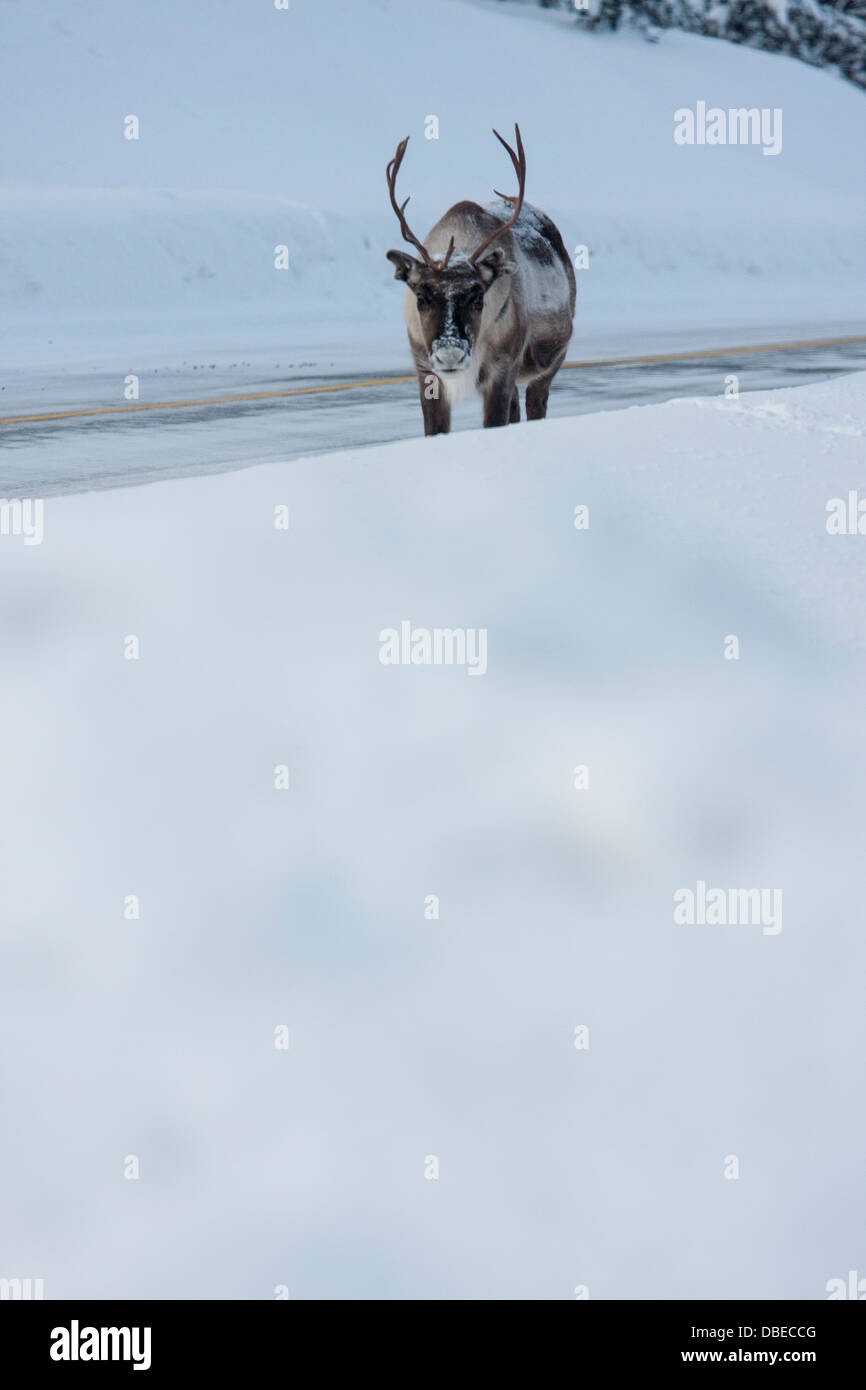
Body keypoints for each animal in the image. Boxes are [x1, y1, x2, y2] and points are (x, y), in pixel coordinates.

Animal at [386, 125, 575, 436]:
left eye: (477, 298)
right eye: (421, 297)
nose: (450, 355)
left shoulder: (502, 367)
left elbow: (495, 421)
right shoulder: (425, 369)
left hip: (552, 359)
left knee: (536, 402)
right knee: (516, 410)